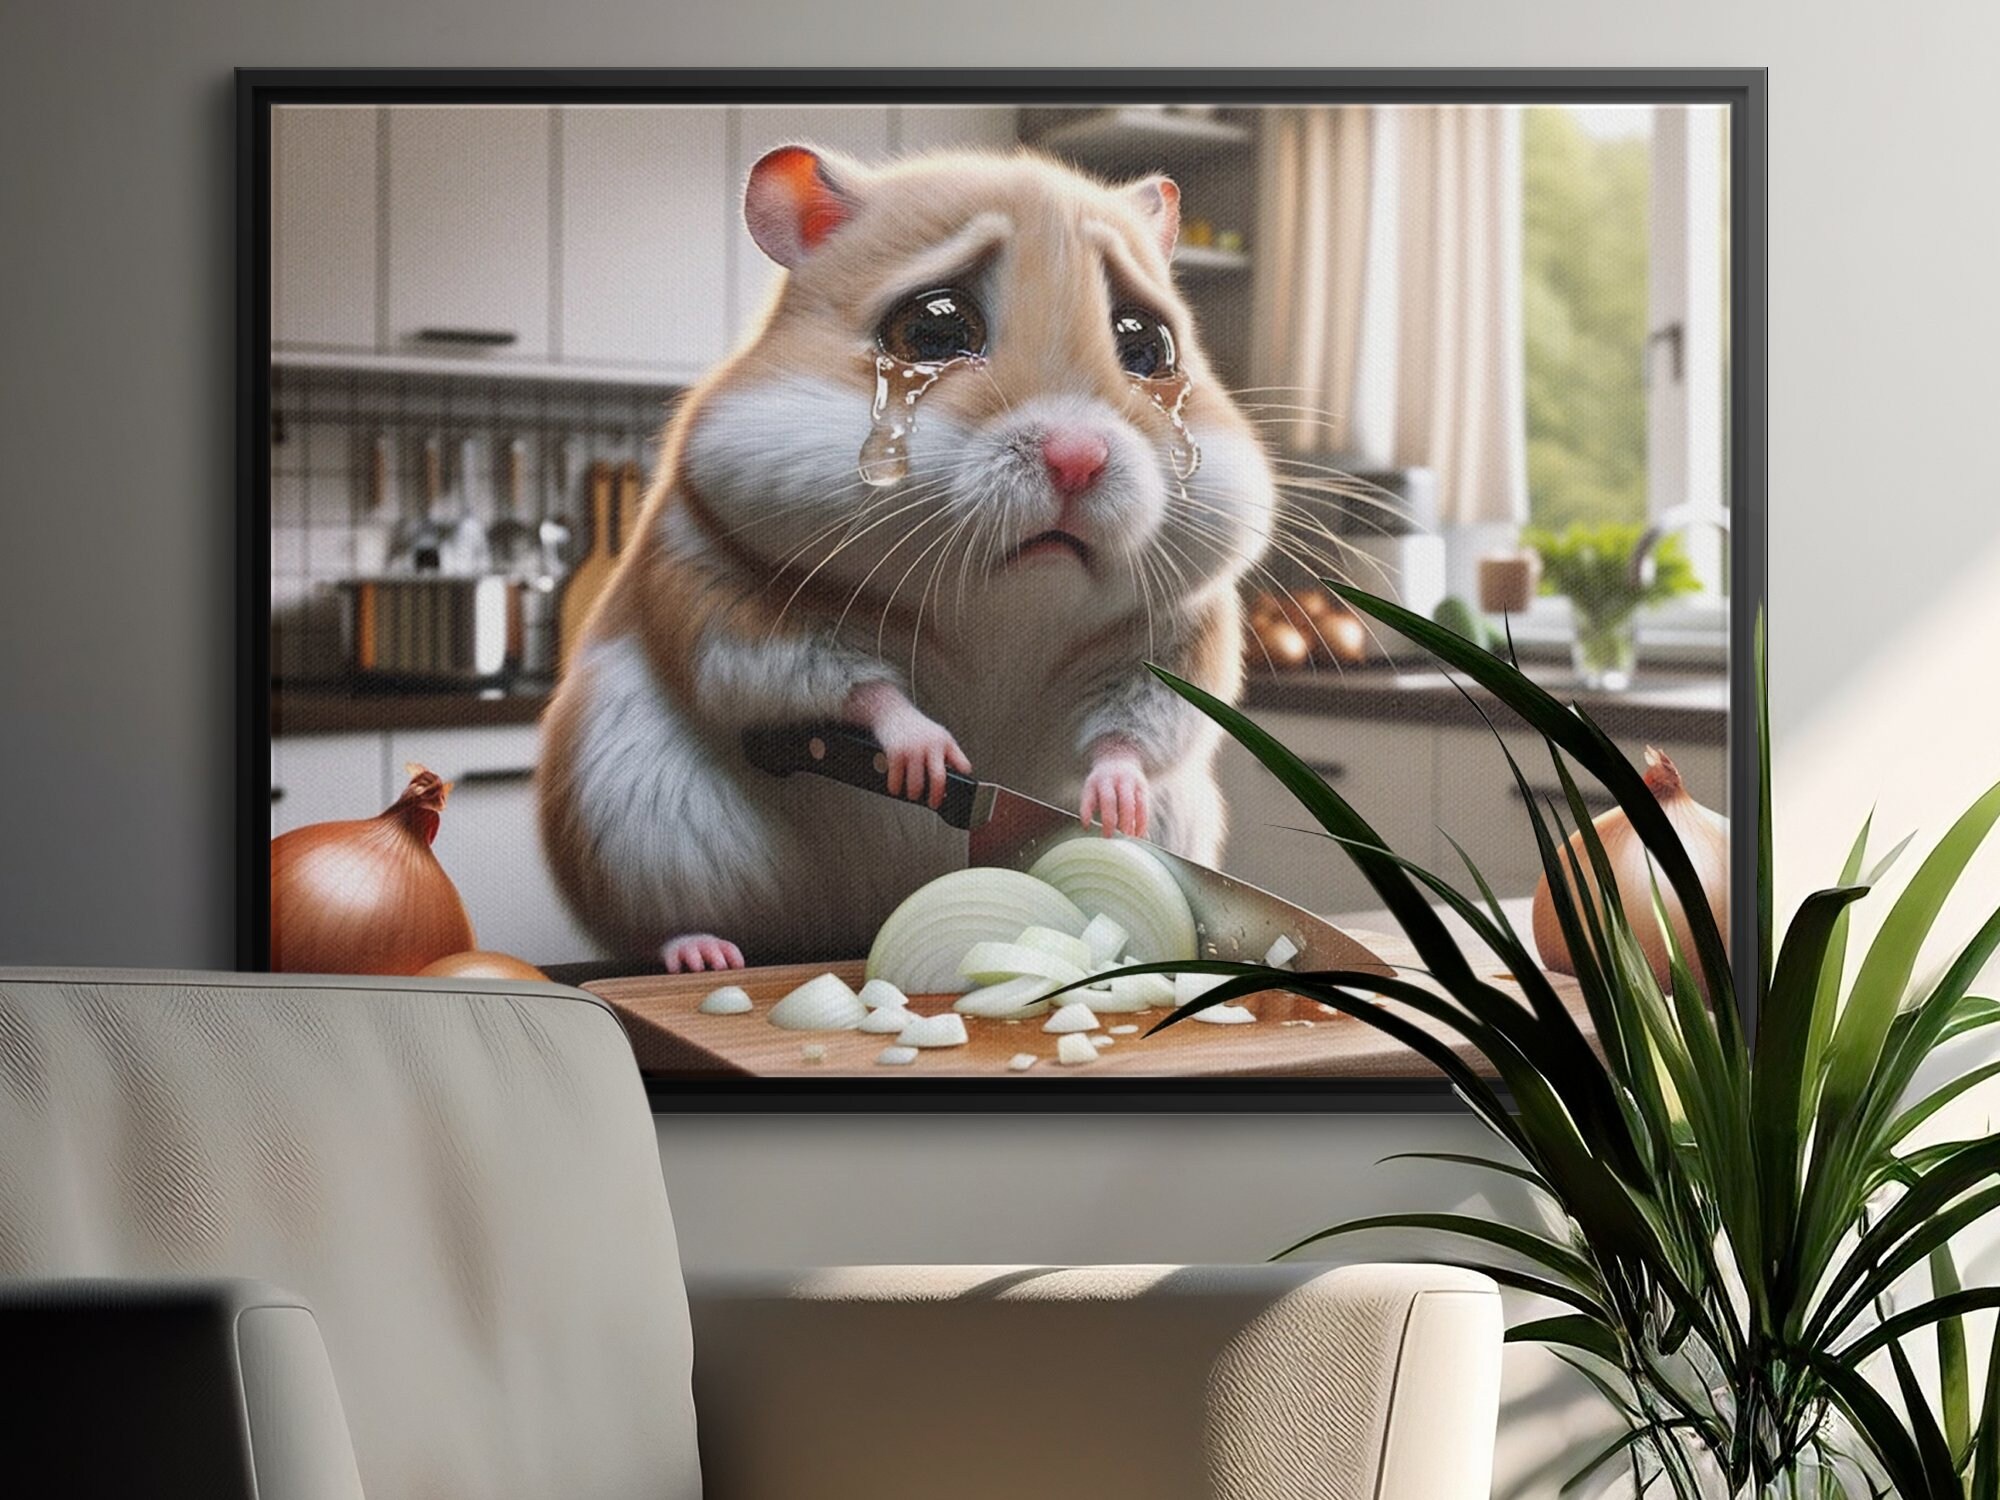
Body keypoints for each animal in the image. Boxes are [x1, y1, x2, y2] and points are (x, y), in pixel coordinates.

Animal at [539, 145, 1277, 972]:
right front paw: (929, 765)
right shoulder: (733, 601)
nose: (1078, 460)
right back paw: (705, 955)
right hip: (632, 823)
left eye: (1147, 343)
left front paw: (1113, 810)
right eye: (932, 330)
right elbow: (862, 688)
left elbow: (1133, 732)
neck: (1008, 609)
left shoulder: (1179, 643)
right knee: (662, 926)